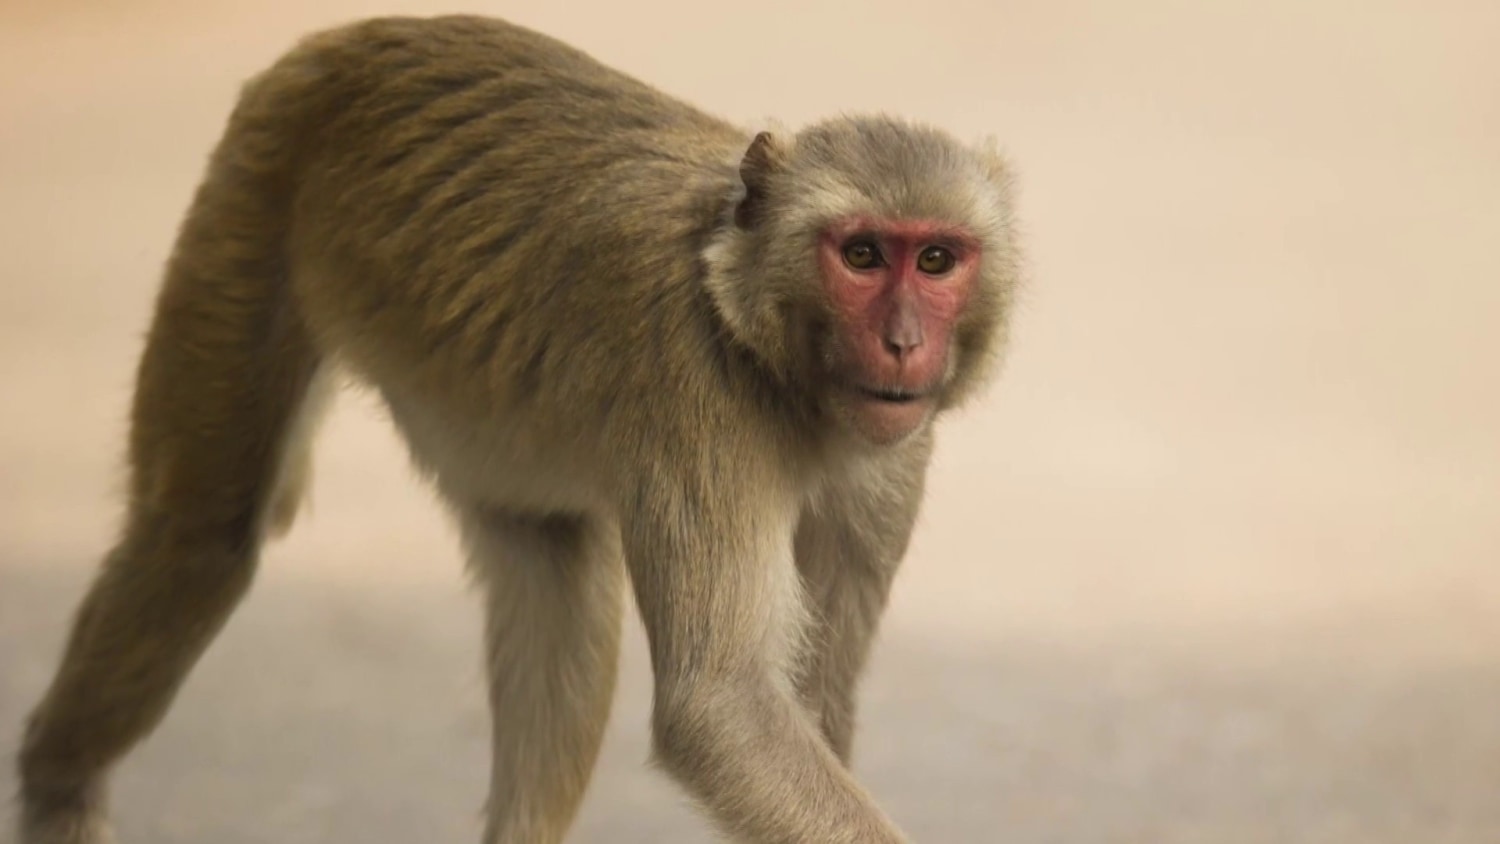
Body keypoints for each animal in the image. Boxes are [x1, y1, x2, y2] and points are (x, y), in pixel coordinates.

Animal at [15, 14, 1020, 844]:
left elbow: (806, 701)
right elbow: (723, 709)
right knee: (201, 541)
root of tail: (345, 39)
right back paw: (55, 781)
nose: (904, 343)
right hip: (251, 197)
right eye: (863, 255)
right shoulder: (698, 395)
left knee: (553, 557)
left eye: (937, 260)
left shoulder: (891, 455)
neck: (765, 345)